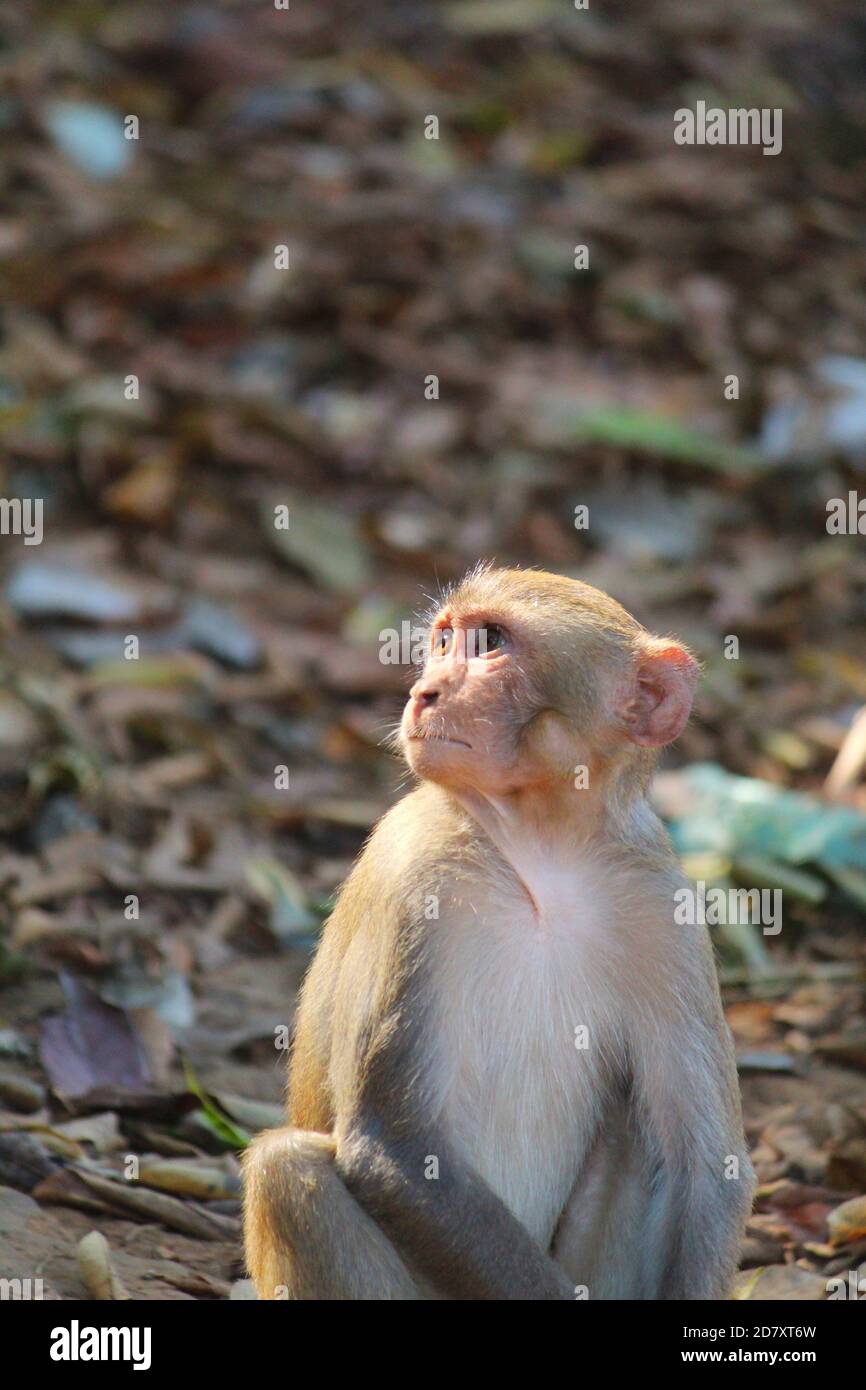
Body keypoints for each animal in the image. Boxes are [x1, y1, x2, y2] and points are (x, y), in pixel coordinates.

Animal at [242, 565, 755, 1300]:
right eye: (442, 641)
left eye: (490, 644)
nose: (424, 693)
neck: (543, 852)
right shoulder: (416, 872)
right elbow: (399, 1148)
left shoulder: (662, 905)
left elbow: (705, 1169)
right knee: (288, 1168)